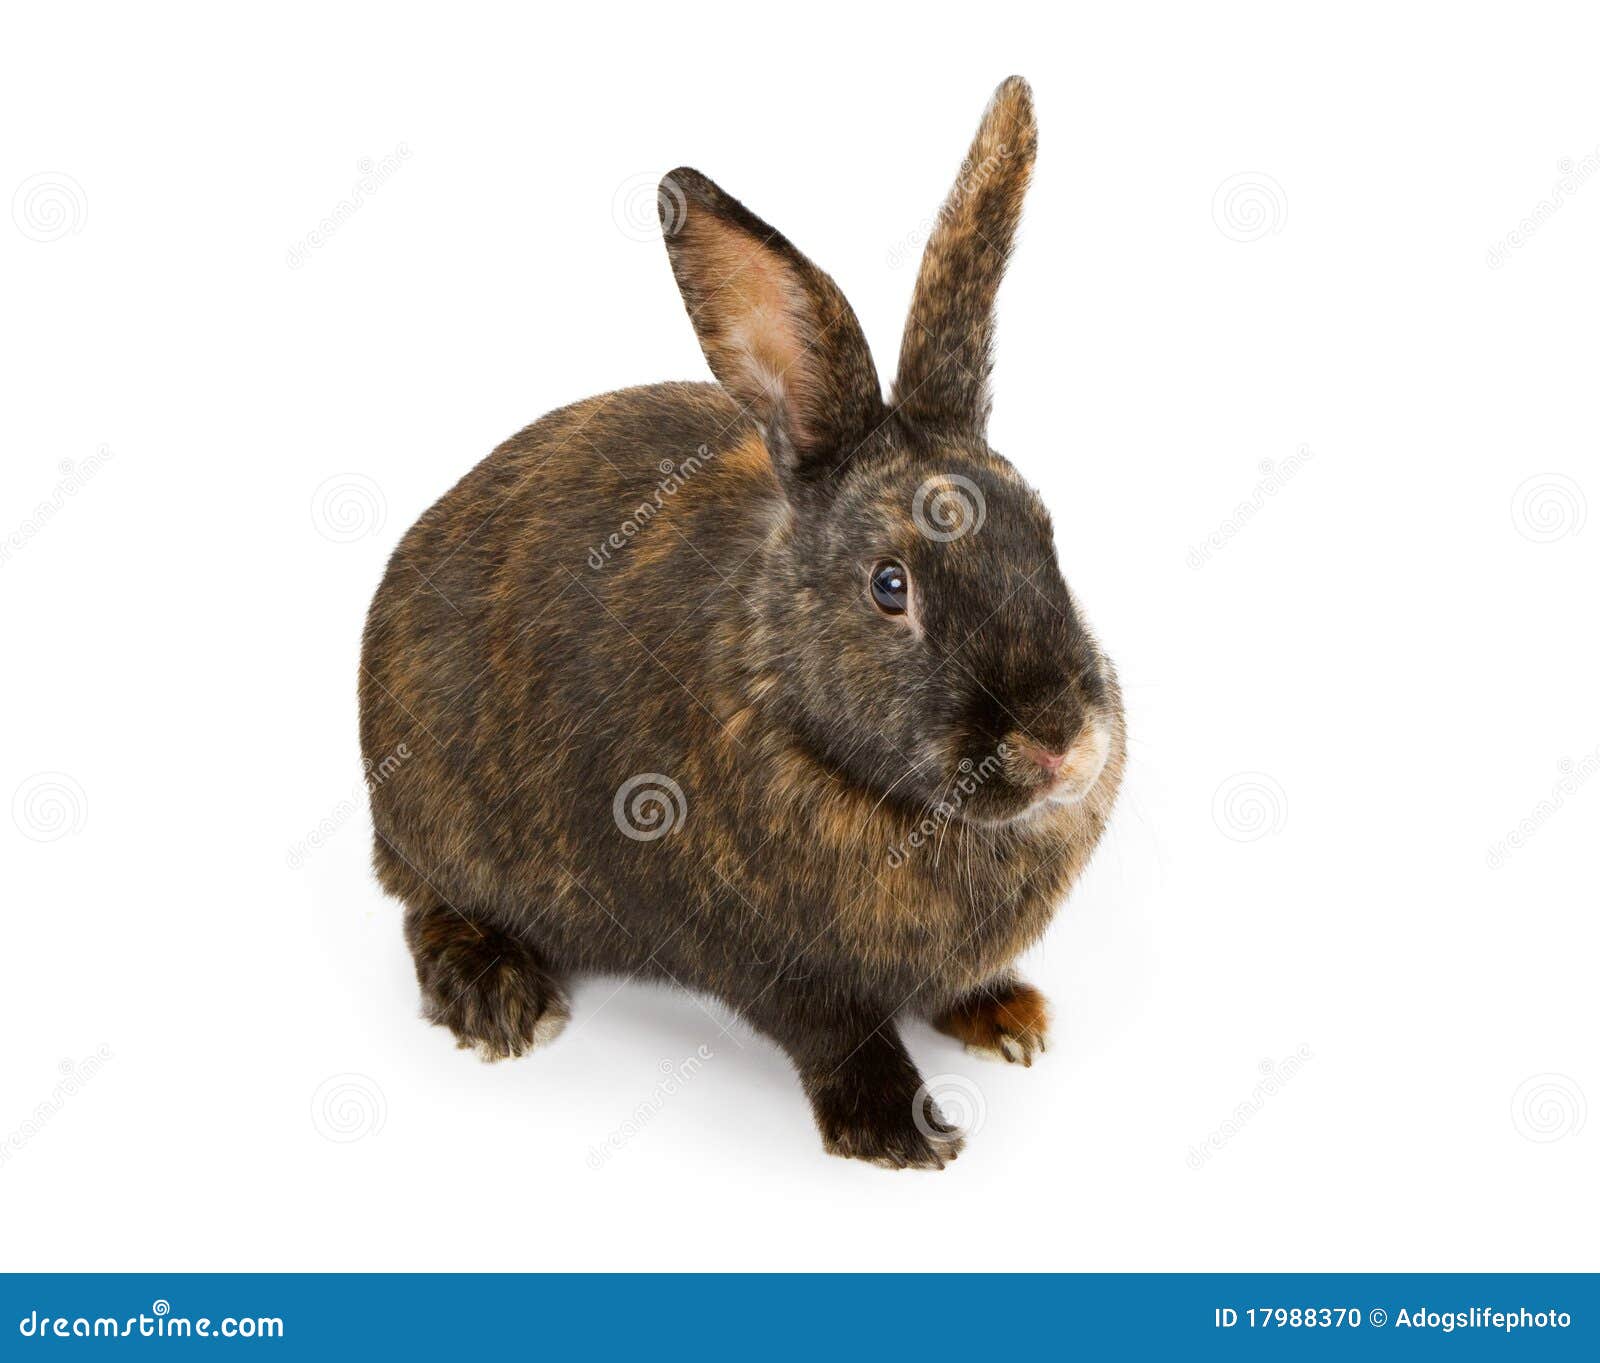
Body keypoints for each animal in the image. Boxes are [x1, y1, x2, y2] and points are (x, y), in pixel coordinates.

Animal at [359, 75, 1125, 1169]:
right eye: (889, 584)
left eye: (1046, 532)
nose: (1059, 743)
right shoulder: (772, 963)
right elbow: (837, 1032)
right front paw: (902, 1132)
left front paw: (1007, 1017)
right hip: (437, 819)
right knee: (426, 902)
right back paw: (497, 1000)